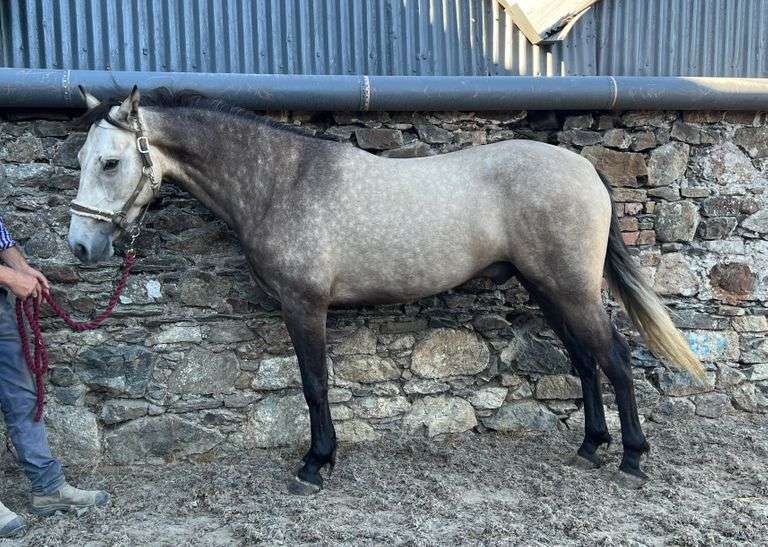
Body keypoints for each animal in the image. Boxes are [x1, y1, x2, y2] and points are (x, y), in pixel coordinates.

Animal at [68, 86, 704, 494]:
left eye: (109, 162)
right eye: (80, 158)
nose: (80, 246)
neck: (281, 178)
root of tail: (585, 169)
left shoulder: (305, 305)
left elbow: (314, 384)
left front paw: (315, 465)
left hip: (572, 289)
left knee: (615, 359)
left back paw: (630, 456)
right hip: (547, 288)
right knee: (584, 361)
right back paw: (591, 447)